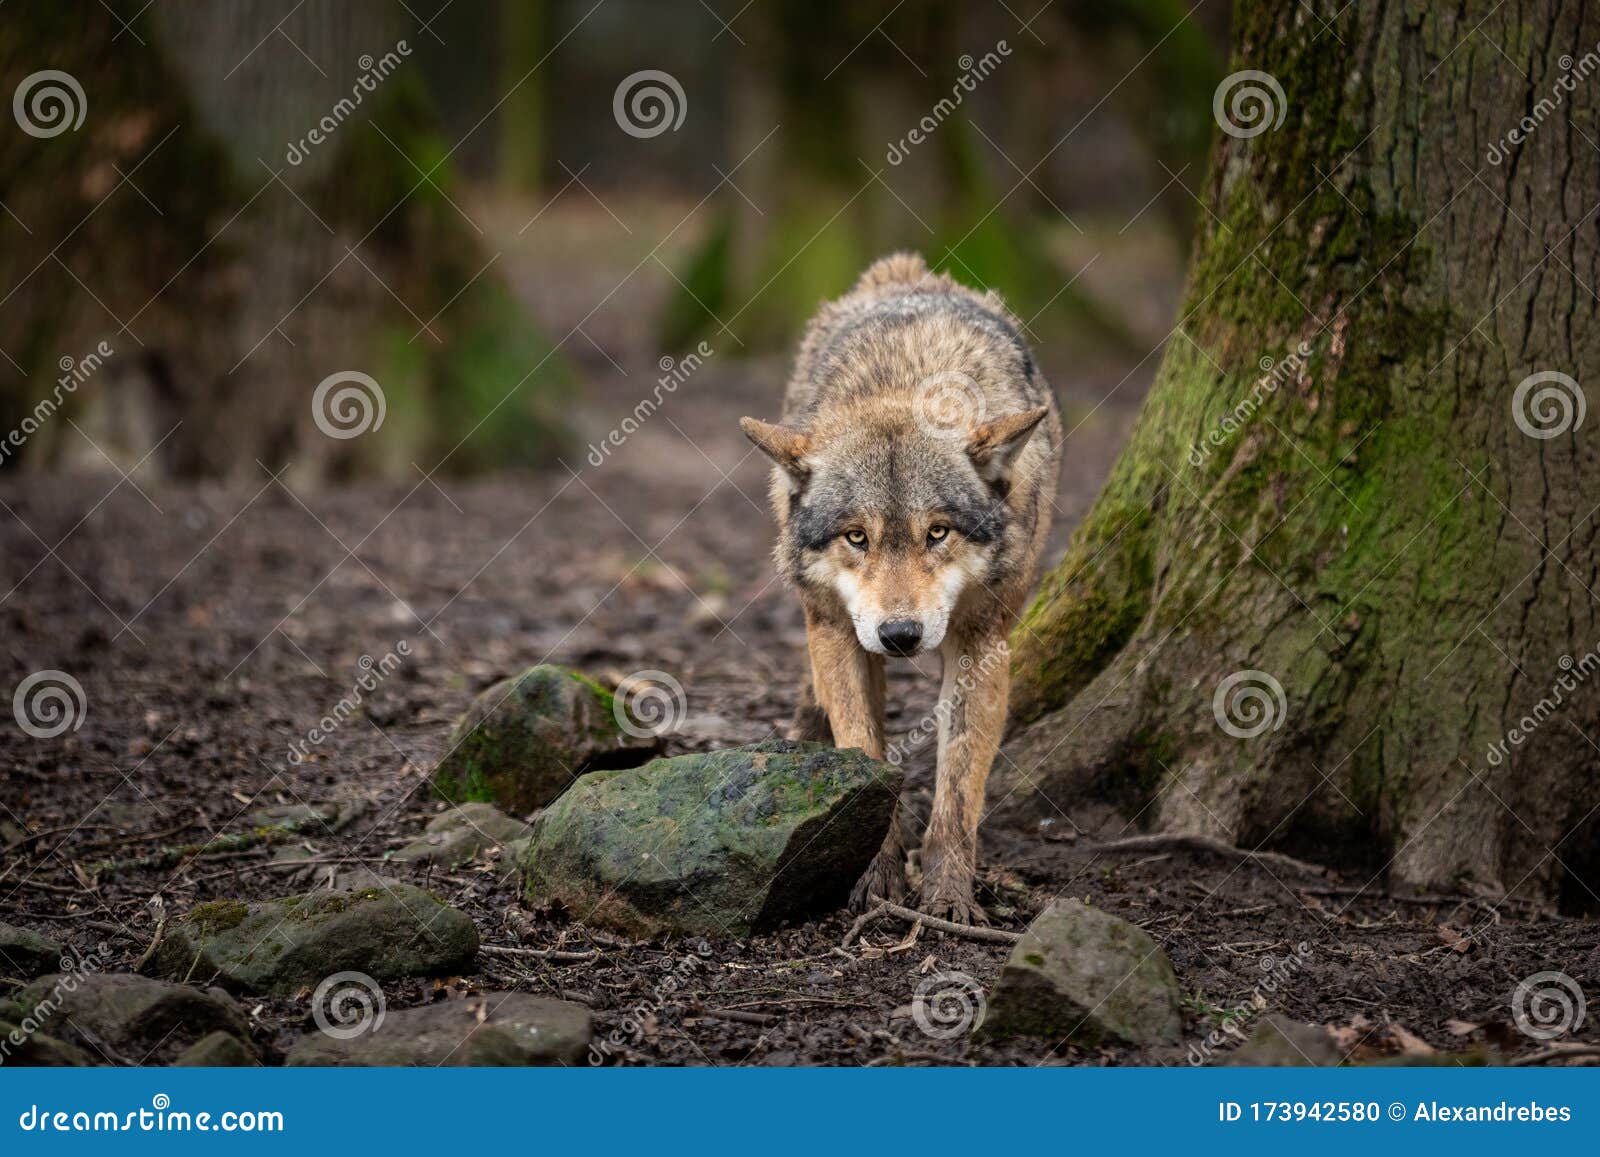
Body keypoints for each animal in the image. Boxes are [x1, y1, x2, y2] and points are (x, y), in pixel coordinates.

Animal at [740, 253, 1061, 924]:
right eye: (856, 537)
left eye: (936, 532)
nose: (900, 635)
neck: (906, 383)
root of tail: (905, 271)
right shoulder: (840, 634)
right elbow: (864, 754)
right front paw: (874, 876)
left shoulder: (982, 645)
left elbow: (959, 789)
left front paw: (948, 898)